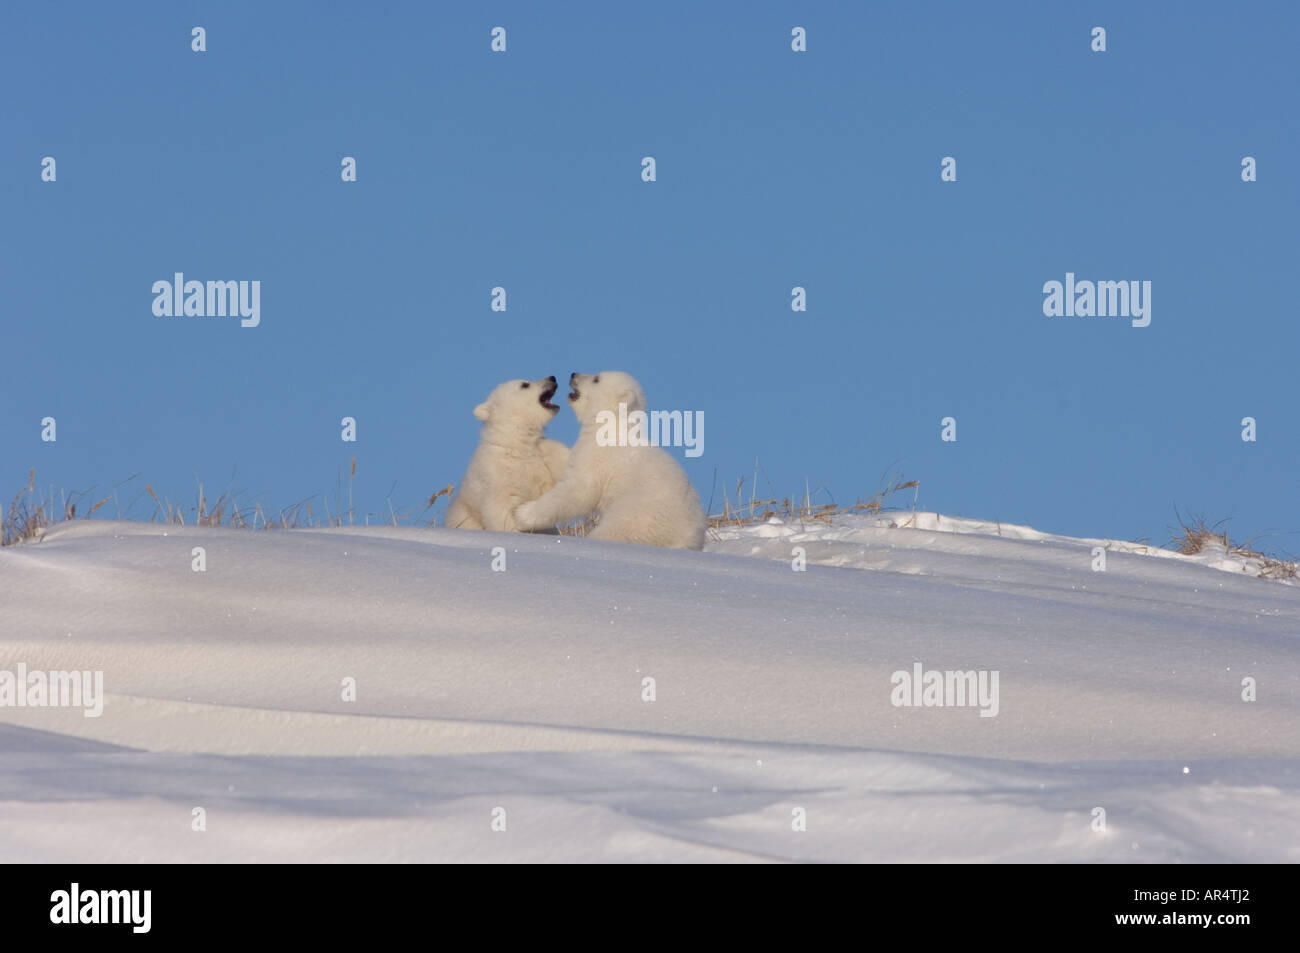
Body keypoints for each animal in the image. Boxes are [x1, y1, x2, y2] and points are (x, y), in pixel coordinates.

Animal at [444, 375, 570, 532]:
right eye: (525, 385)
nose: (552, 378)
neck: (515, 443)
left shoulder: (545, 454)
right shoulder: (498, 475)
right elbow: (501, 509)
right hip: (465, 517)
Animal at [513, 371, 707, 550]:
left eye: (596, 379)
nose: (573, 374)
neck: (610, 430)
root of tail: (688, 539)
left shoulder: (596, 459)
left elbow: (577, 491)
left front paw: (522, 514)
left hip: (639, 514)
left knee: (614, 531)